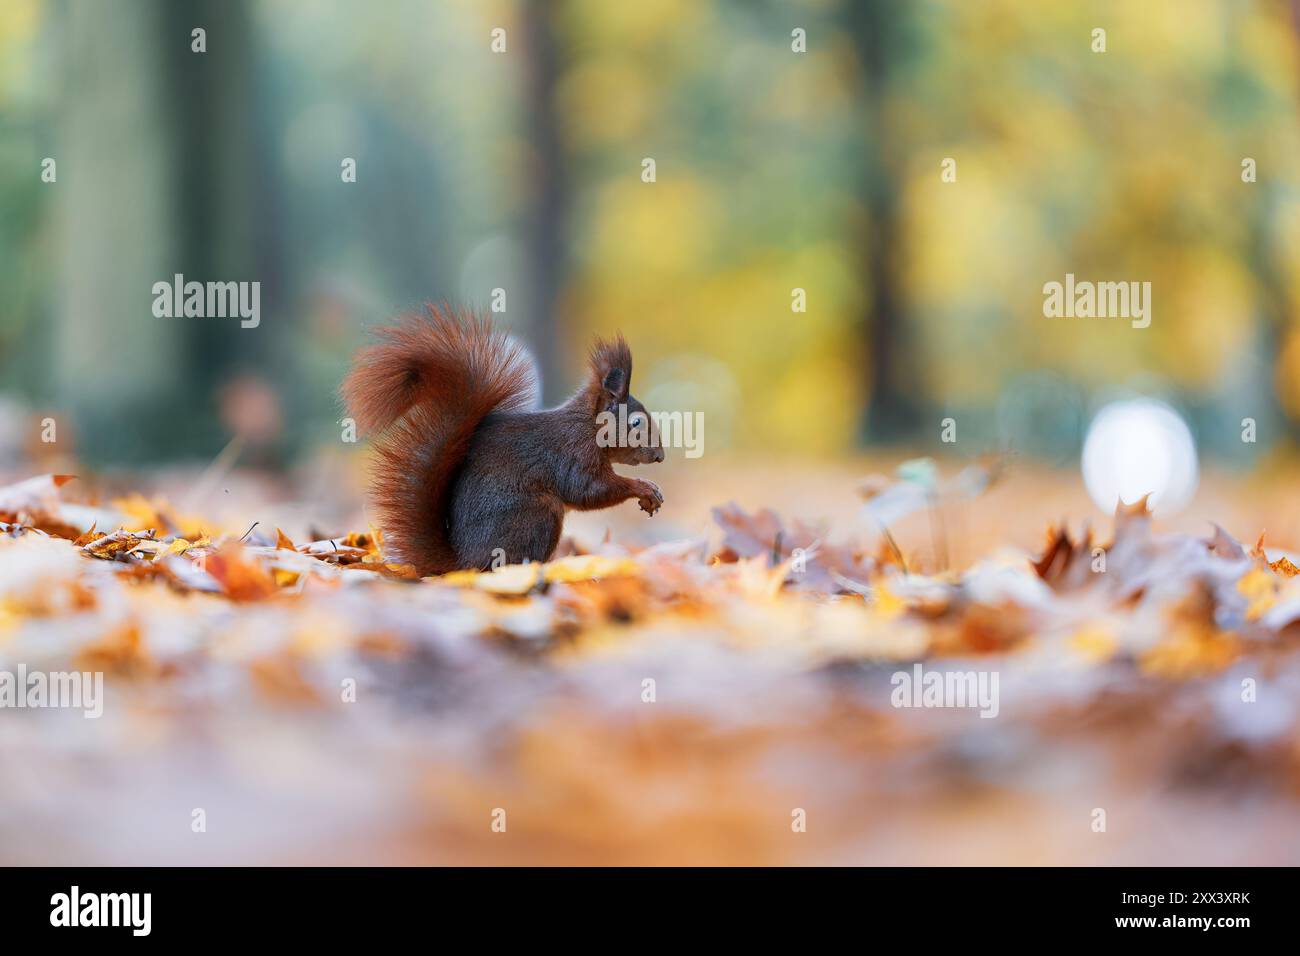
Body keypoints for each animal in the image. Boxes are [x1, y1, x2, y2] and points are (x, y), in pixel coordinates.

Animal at [342, 303, 664, 576]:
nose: (659, 456)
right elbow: (588, 490)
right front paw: (644, 487)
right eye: (636, 422)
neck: (588, 427)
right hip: (538, 514)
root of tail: (464, 564)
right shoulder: (572, 453)